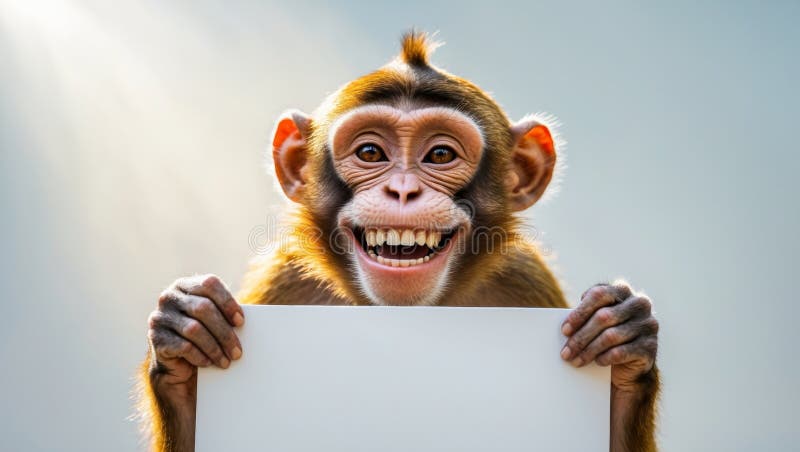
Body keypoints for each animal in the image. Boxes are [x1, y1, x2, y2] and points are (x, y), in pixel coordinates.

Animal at [138, 31, 660, 452]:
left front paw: (623, 342)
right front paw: (186, 336)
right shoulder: (284, 284)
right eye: (371, 152)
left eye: (440, 154)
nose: (404, 190)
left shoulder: (526, 283)